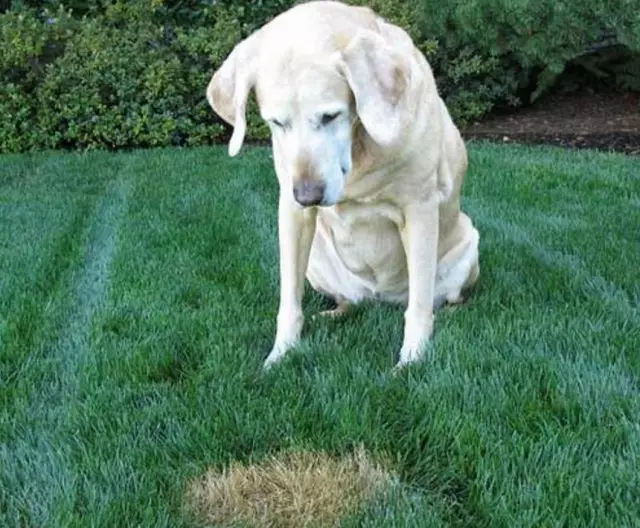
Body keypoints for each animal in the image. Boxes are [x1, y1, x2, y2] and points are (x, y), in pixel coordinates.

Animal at [209, 1, 480, 372]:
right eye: (276, 122)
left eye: (330, 116)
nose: (307, 195)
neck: (359, 147)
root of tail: (381, 298)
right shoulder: (291, 214)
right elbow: (289, 302)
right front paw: (280, 354)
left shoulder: (420, 208)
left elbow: (420, 307)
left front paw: (411, 360)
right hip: (318, 262)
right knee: (347, 301)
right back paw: (332, 314)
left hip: (468, 245)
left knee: (439, 300)